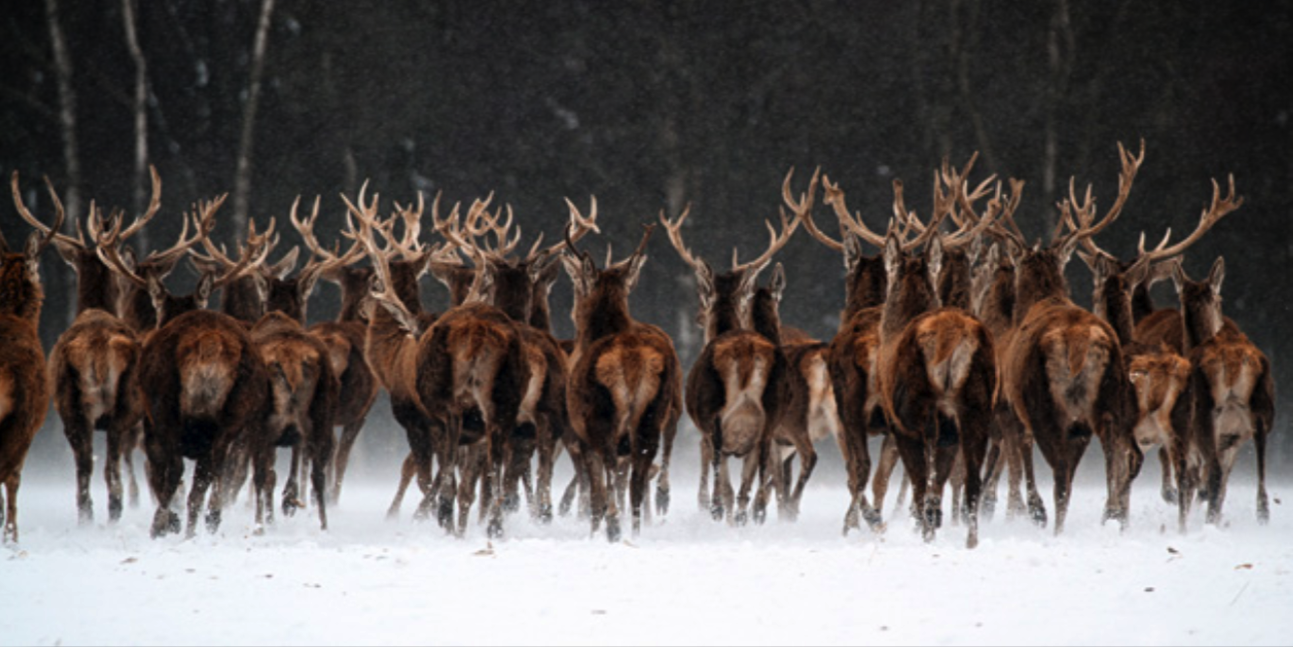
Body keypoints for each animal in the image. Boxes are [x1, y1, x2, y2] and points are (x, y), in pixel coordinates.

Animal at [95, 196, 273, 538]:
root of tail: (210, 341)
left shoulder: (150, 423)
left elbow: (162, 475)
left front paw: (167, 524)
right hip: (235, 410)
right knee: (209, 478)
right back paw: (198, 529)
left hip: (164, 403)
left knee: (176, 472)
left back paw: (164, 527)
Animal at [562, 220, 682, 541]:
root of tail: (630, 360)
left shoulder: (580, 433)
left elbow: (596, 492)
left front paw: (595, 530)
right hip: (654, 413)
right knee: (638, 481)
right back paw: (637, 530)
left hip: (600, 415)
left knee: (610, 468)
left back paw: (615, 527)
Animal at [995, 141, 1146, 534]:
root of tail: (1078, 341)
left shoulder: (1013, 403)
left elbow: (1024, 452)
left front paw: (1035, 510)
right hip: (1111, 397)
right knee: (1120, 450)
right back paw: (1112, 513)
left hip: (1045, 401)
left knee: (1061, 474)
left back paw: (1053, 522)